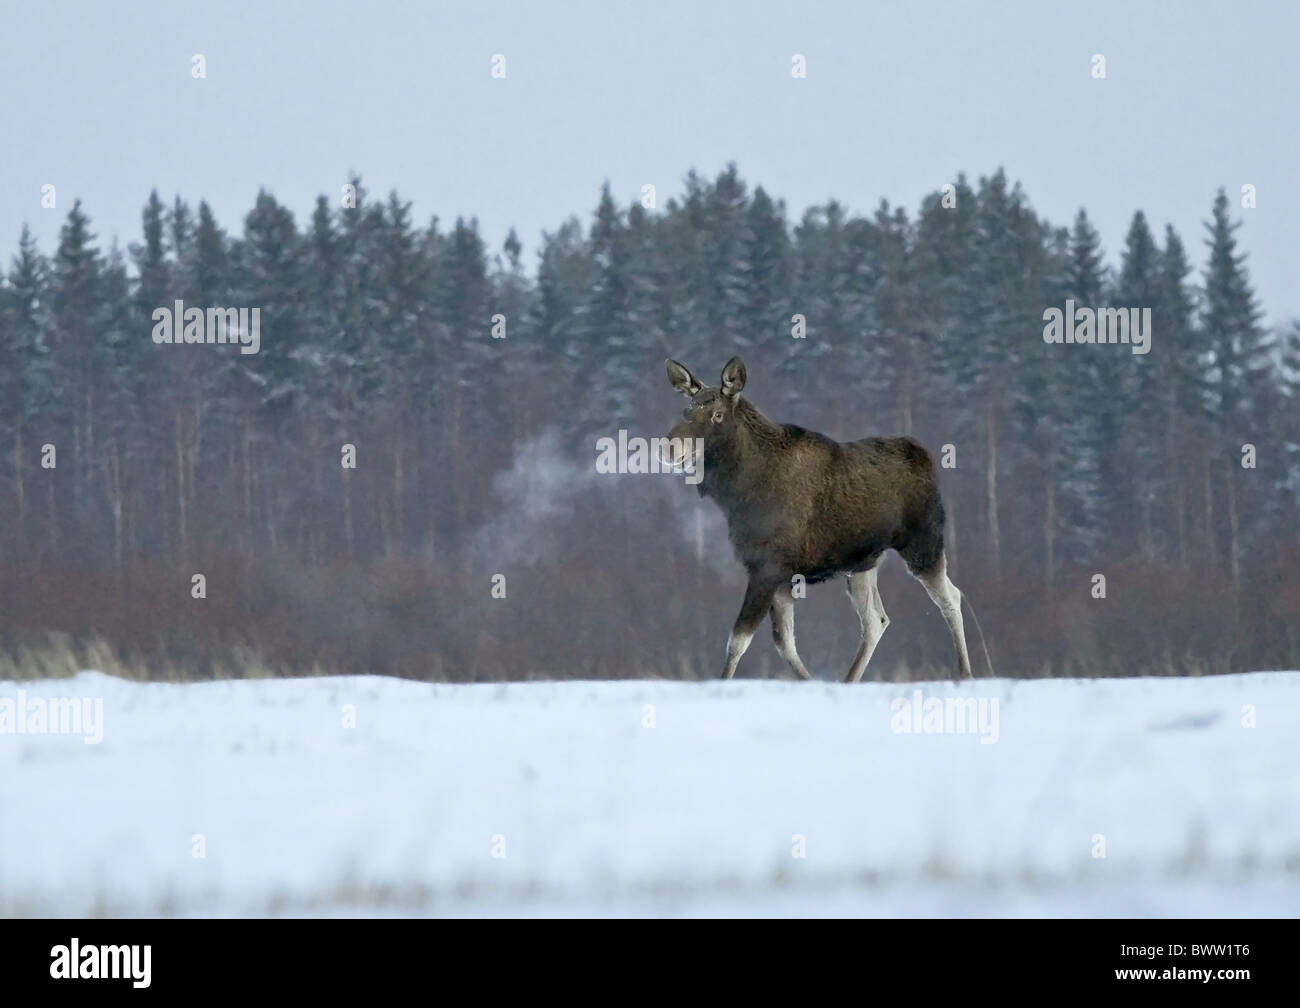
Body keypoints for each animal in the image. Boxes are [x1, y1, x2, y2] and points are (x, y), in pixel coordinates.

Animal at [662, 356, 990, 683]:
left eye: (717, 414)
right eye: (685, 410)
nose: (669, 447)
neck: (737, 494)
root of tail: (924, 455)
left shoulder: (768, 567)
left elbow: (739, 640)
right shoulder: (781, 575)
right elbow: (785, 642)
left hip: (923, 543)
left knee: (950, 598)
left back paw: (965, 673)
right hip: (863, 562)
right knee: (876, 619)